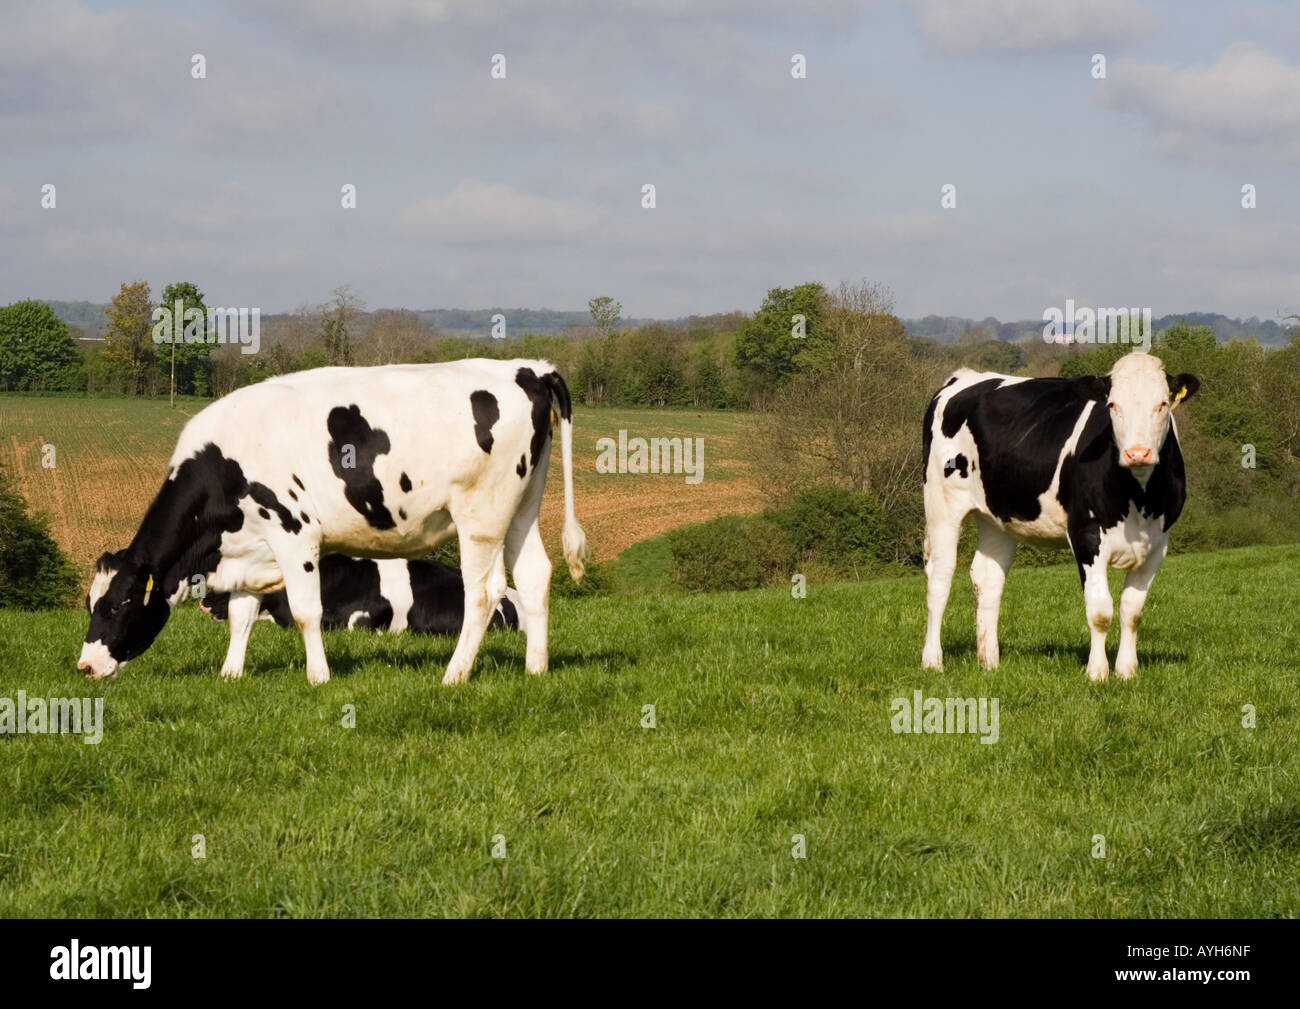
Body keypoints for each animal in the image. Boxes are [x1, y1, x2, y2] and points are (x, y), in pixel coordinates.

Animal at [78, 359, 586, 686]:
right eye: (90, 603)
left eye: (118, 605)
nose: (85, 666)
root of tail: (529, 368)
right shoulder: (249, 549)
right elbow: (241, 616)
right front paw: (230, 675)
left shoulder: (294, 532)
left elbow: (306, 611)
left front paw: (318, 677)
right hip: (523, 506)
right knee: (535, 576)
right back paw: (536, 669)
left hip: (481, 514)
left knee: (483, 592)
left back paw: (454, 675)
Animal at [921, 351, 1199, 681]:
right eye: (1113, 406)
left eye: (1162, 404)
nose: (1137, 453)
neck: (1138, 498)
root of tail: (963, 377)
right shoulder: (1086, 535)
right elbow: (1100, 610)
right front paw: (1097, 672)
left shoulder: (1158, 544)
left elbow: (1132, 611)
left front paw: (1127, 671)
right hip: (941, 503)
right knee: (940, 577)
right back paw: (932, 660)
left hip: (996, 518)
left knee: (988, 578)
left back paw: (989, 662)